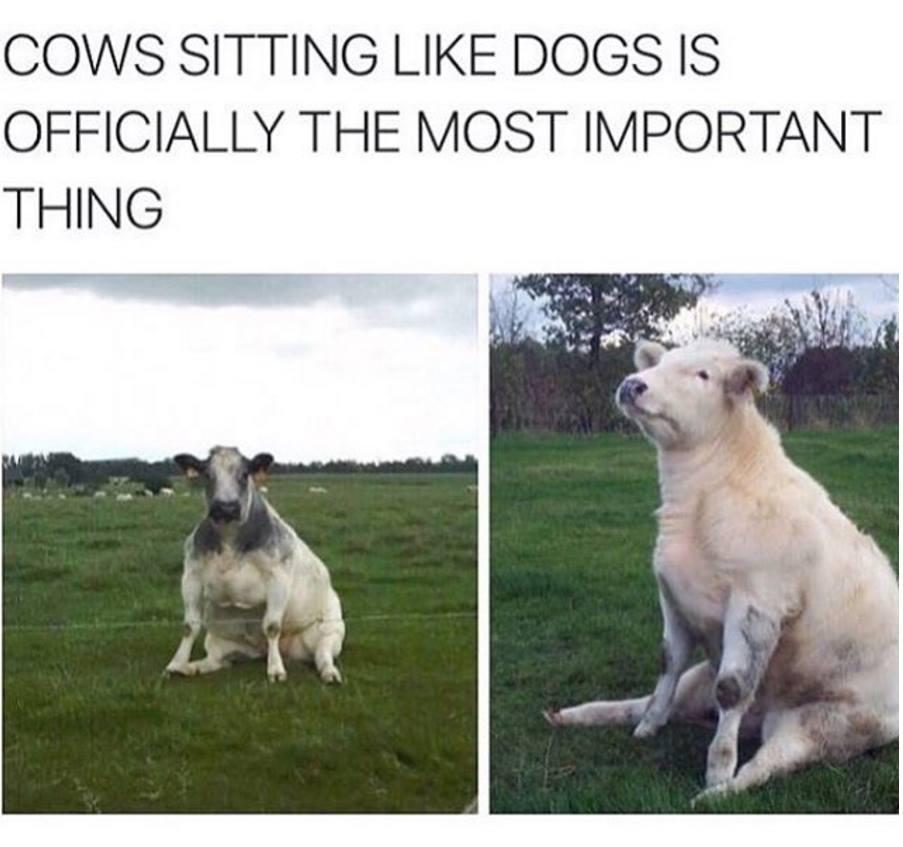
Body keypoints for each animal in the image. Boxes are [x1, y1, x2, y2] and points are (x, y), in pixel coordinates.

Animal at [164, 446, 345, 684]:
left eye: (244, 474)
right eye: (208, 475)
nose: (226, 507)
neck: (230, 539)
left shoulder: (278, 578)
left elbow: (272, 626)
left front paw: (275, 670)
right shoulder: (191, 576)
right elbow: (189, 626)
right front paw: (176, 664)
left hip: (330, 630)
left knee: (322, 655)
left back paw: (329, 673)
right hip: (218, 639)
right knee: (216, 660)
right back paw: (192, 667)